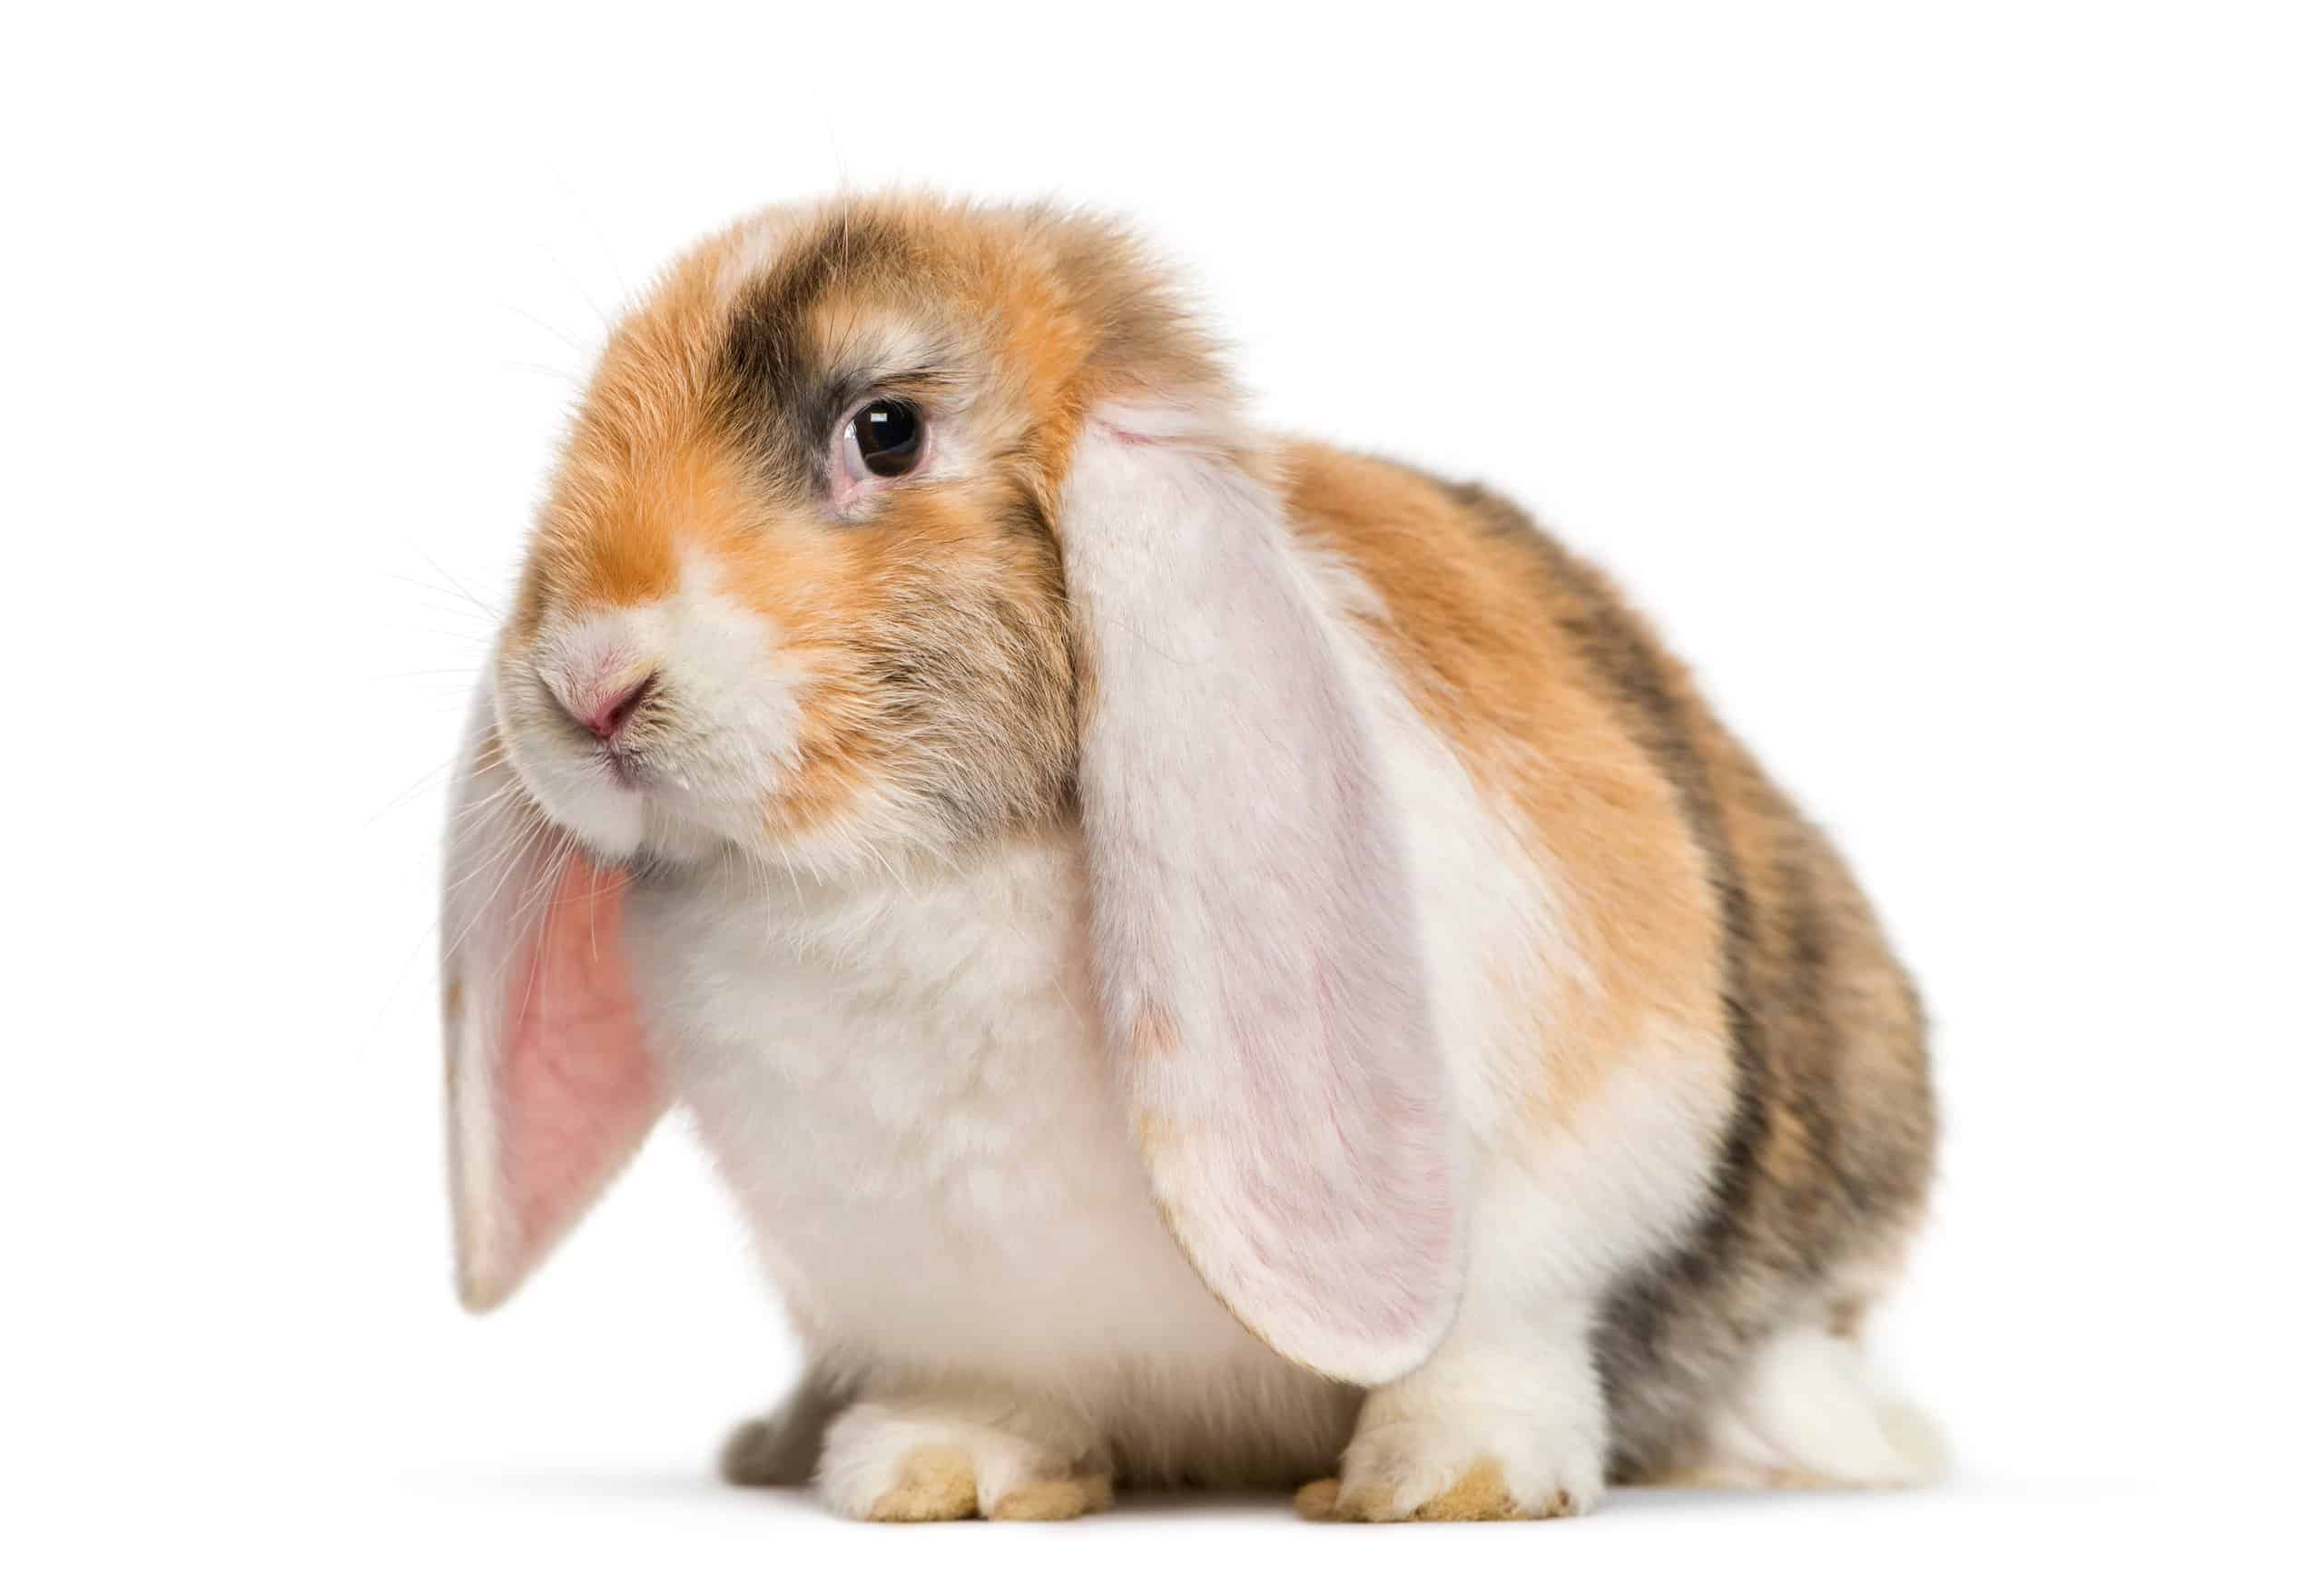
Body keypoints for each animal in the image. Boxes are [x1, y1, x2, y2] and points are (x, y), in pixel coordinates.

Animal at [440, 193, 1940, 1522]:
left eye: (887, 431)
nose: (587, 680)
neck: (916, 870)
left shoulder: (1587, 1145)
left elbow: (1497, 1338)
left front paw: (1448, 1482)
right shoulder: (941, 1286)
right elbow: (989, 1382)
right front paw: (940, 1470)